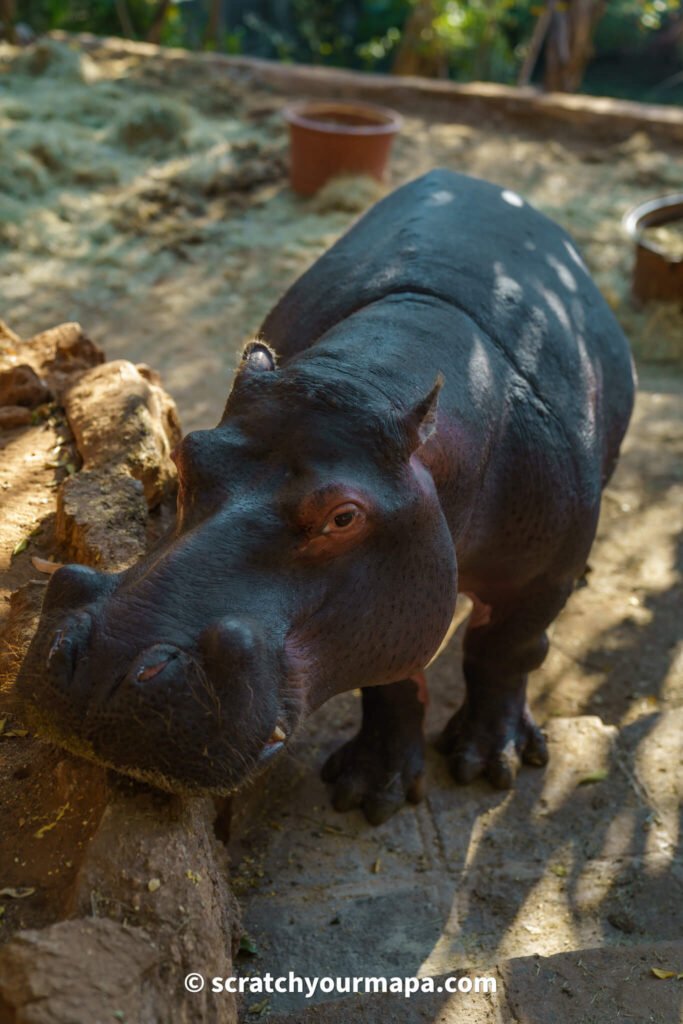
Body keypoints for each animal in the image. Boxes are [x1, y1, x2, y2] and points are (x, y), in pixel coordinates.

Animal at [16, 170, 635, 824]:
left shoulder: (537, 579)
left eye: (343, 516)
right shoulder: (392, 609)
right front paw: (371, 791)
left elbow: (505, 650)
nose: (103, 666)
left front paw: (488, 763)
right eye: (188, 455)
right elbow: (393, 681)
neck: (363, 380)